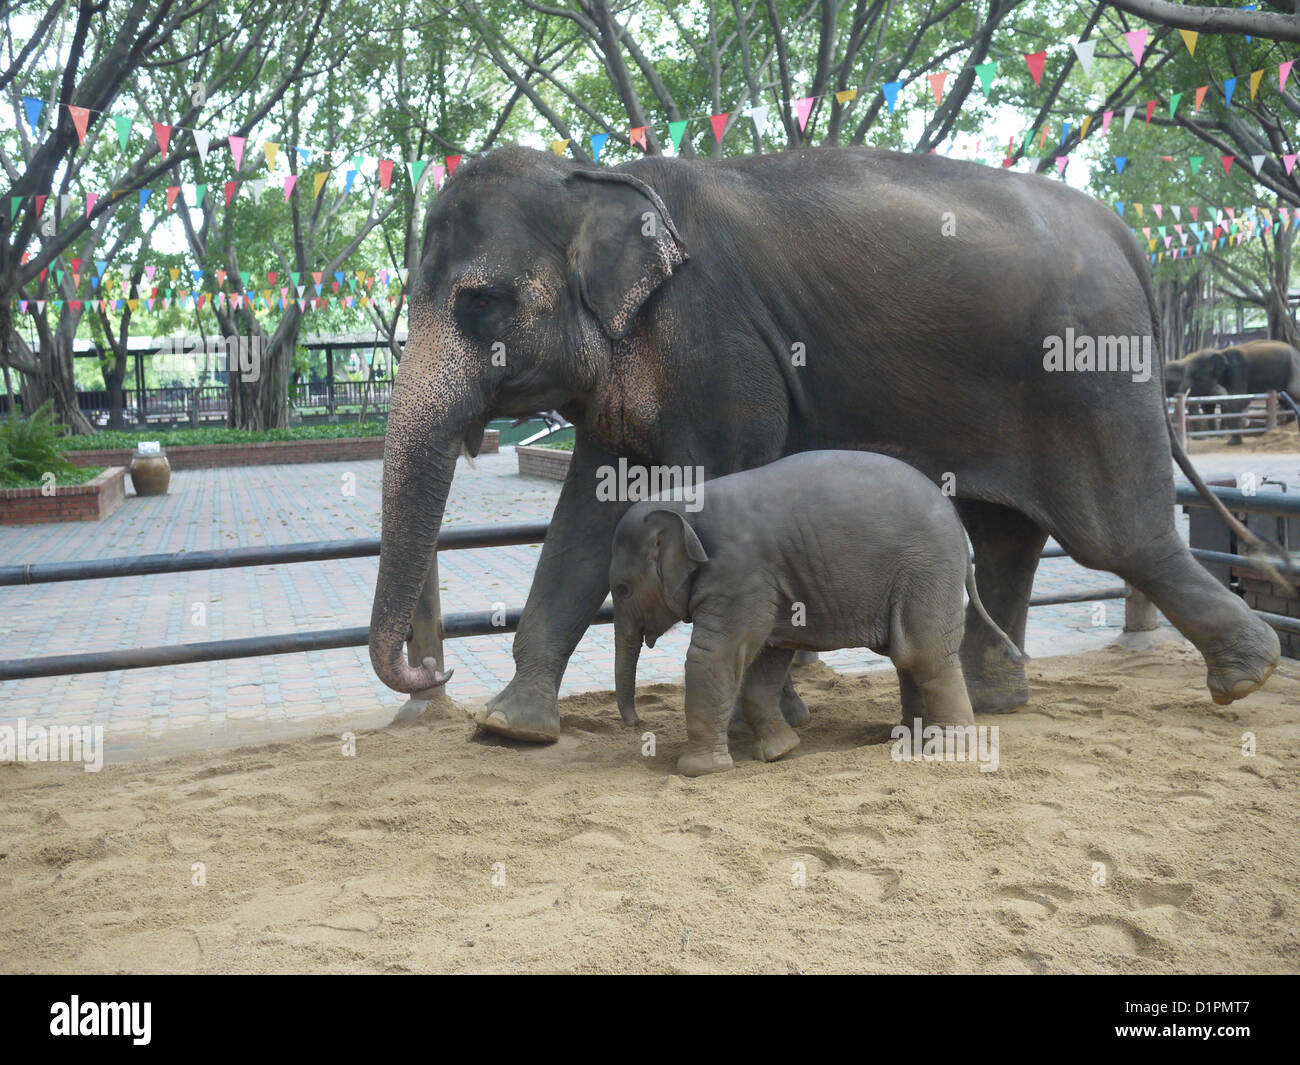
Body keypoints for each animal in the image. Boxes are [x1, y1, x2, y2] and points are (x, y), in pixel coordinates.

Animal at [368, 144, 1282, 743]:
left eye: (478, 302)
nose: (434, 674)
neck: (598, 176)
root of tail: (1126, 234)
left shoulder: (720, 346)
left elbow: (710, 488)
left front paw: (772, 714)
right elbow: (584, 522)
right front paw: (510, 728)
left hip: (1091, 371)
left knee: (1117, 536)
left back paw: (1250, 676)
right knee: (1006, 535)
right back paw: (994, 698)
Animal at [608, 451, 1026, 776]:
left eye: (622, 589)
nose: (635, 722)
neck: (685, 502)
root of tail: (957, 524)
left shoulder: (739, 574)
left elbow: (714, 656)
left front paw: (698, 771)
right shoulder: (767, 586)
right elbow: (766, 657)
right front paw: (780, 751)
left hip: (927, 570)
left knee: (923, 654)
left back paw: (944, 749)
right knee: (907, 655)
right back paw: (907, 736)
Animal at [1165, 340, 1300, 445]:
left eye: (1196, 376)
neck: (1220, 352)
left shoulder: (1237, 370)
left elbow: (1236, 400)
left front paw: (1232, 443)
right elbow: (1238, 401)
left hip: (1294, 370)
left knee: (1294, 395)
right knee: (1287, 401)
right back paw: (1289, 427)